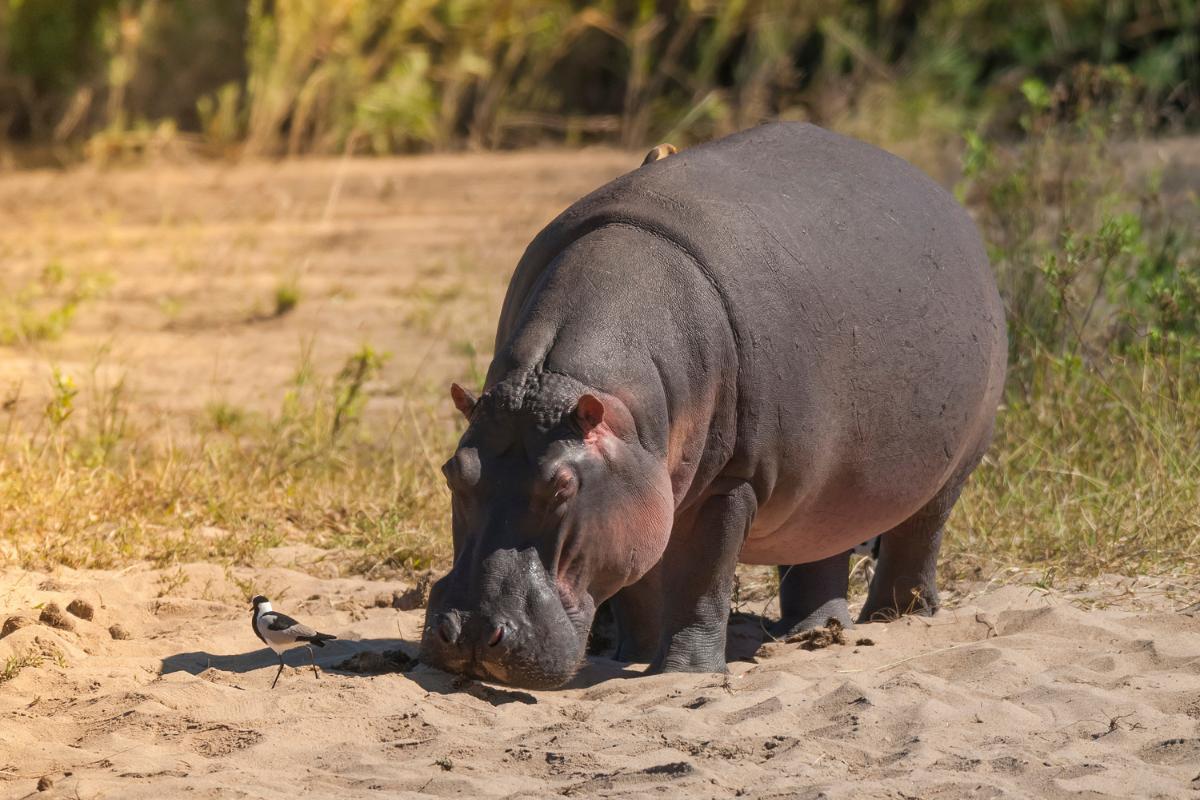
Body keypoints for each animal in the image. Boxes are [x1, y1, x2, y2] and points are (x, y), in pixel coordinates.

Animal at [420, 122, 1007, 689]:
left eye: (563, 486)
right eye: (453, 471)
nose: (470, 632)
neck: (560, 385)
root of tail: (943, 198)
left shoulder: (728, 482)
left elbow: (702, 580)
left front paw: (685, 674)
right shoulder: (640, 487)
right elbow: (637, 580)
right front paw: (631, 657)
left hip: (955, 464)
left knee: (919, 533)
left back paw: (896, 618)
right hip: (828, 480)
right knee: (819, 546)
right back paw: (813, 635)